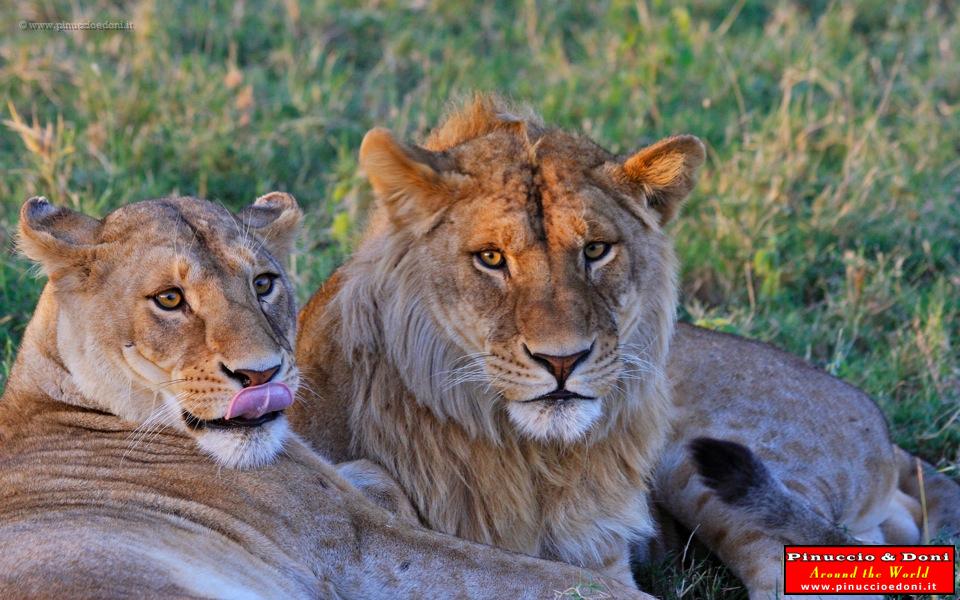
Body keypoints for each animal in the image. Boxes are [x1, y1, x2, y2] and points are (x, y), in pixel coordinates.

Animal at [0, 194, 649, 599]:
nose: (260, 374)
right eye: (168, 299)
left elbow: (373, 474)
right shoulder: (354, 546)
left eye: (264, 284)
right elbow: (545, 580)